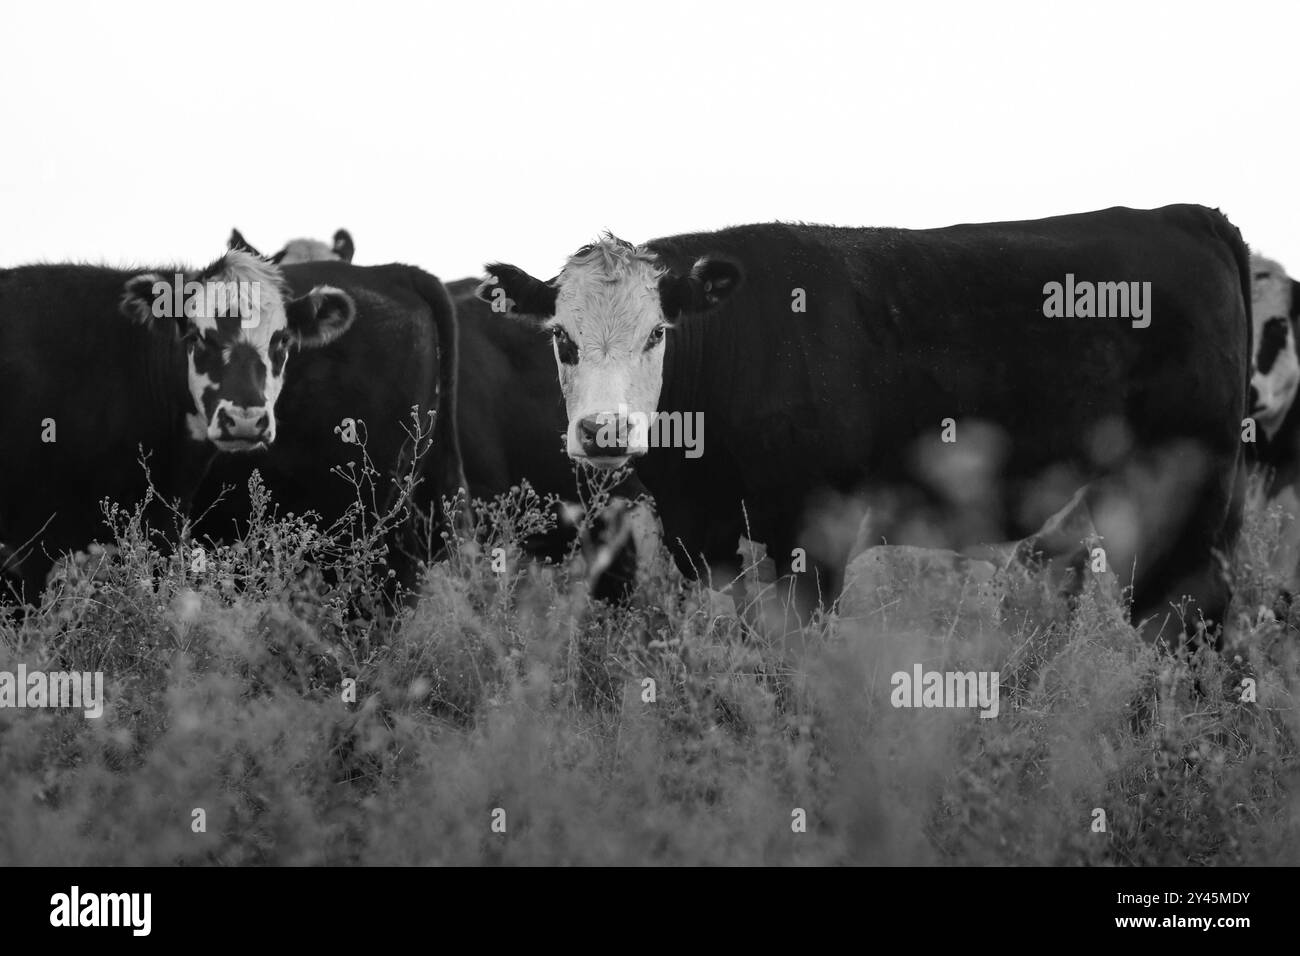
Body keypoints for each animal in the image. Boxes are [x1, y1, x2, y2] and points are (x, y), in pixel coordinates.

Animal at [478, 205, 1252, 645]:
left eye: (657, 334)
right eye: (562, 338)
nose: (604, 432)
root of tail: (1185, 215)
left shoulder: (816, 534)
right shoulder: (701, 535)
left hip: (1181, 492)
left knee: (1186, 619)